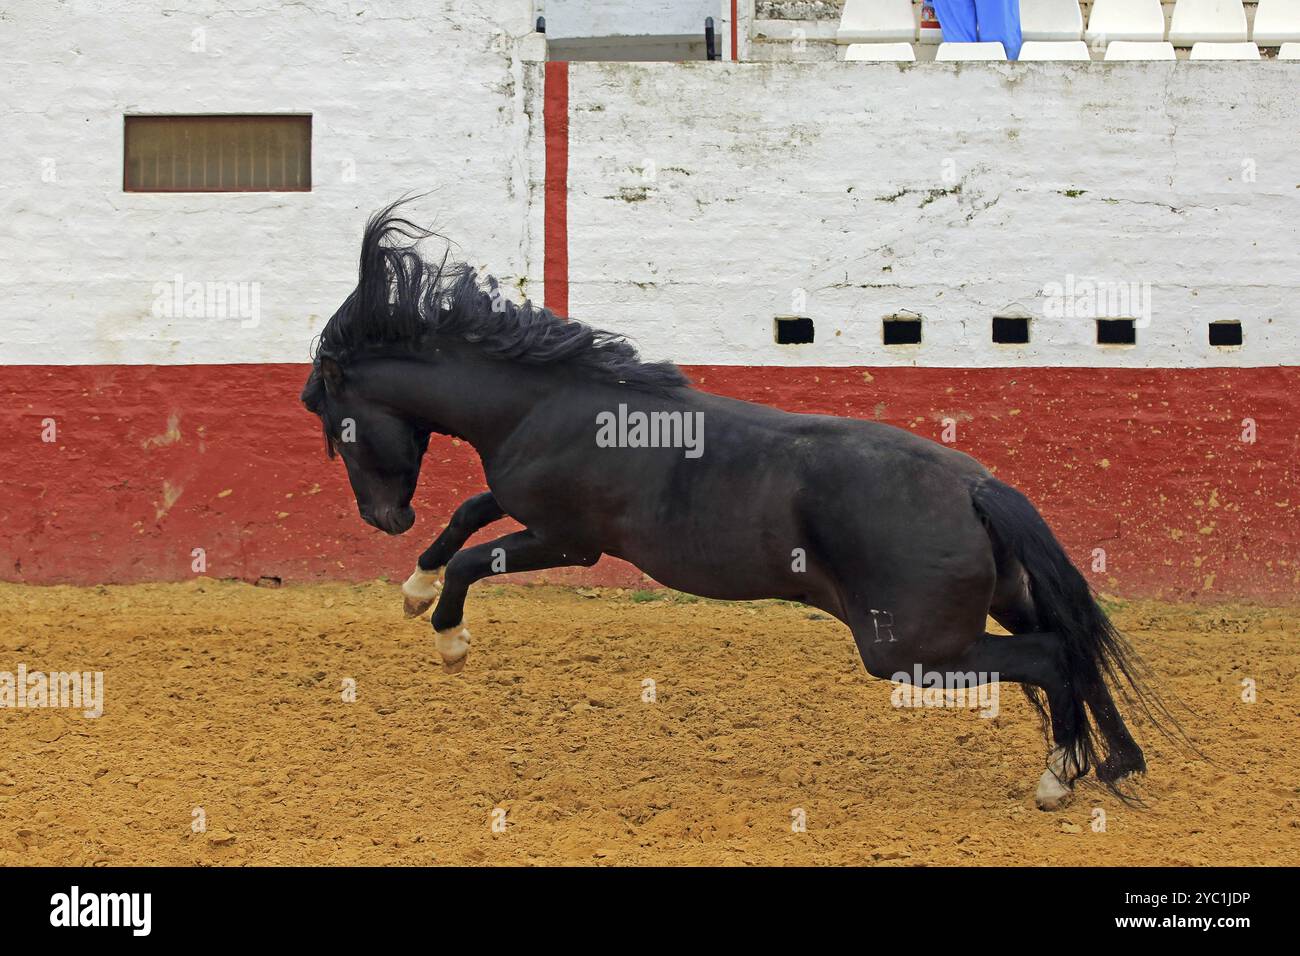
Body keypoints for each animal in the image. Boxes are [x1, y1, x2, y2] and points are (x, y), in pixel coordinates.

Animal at [302, 201, 1180, 810]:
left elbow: (474, 556)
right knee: (1066, 652)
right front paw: (413, 590)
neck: (547, 403)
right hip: (995, 606)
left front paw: (450, 639)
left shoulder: (566, 540)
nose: (384, 520)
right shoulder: (528, 511)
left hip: (908, 650)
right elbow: (467, 517)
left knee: (1052, 659)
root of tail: (975, 487)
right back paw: (1094, 765)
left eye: (334, 422)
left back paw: (1058, 781)